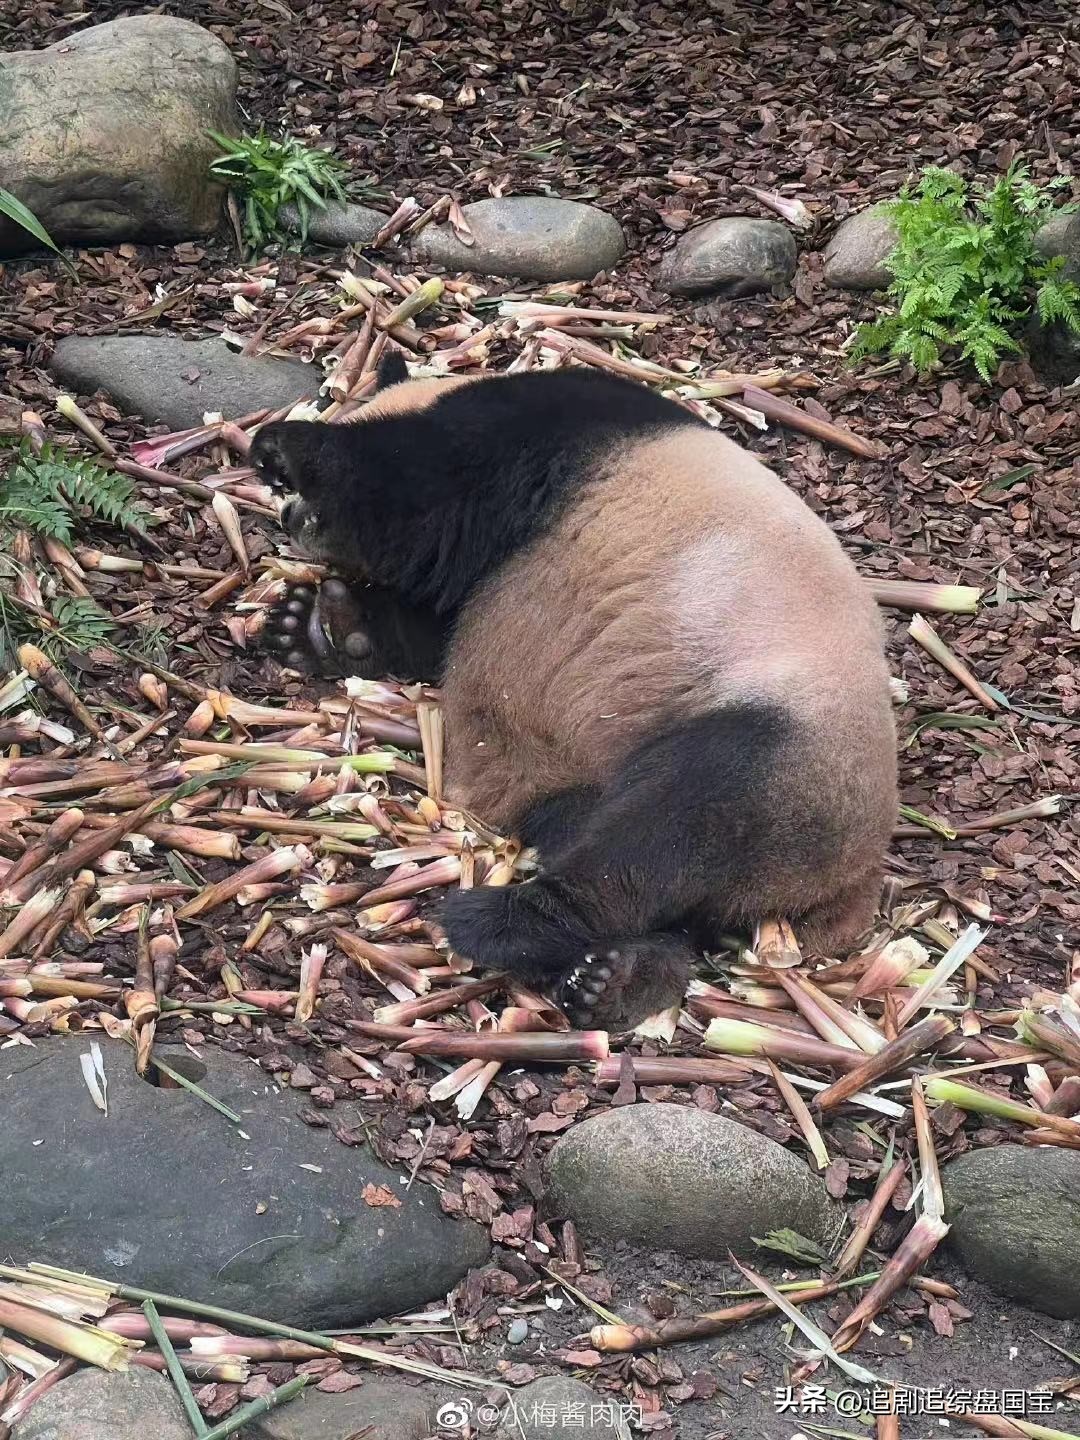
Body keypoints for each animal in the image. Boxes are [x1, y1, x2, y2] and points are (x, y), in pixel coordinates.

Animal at [250, 351, 898, 1030]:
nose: (287, 515)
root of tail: (846, 883)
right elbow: (439, 611)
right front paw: (325, 629)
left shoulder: (543, 439)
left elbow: (417, 499)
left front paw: (283, 450)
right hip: (602, 779)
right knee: (650, 879)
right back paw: (617, 978)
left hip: (787, 754)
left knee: (673, 826)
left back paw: (502, 925)